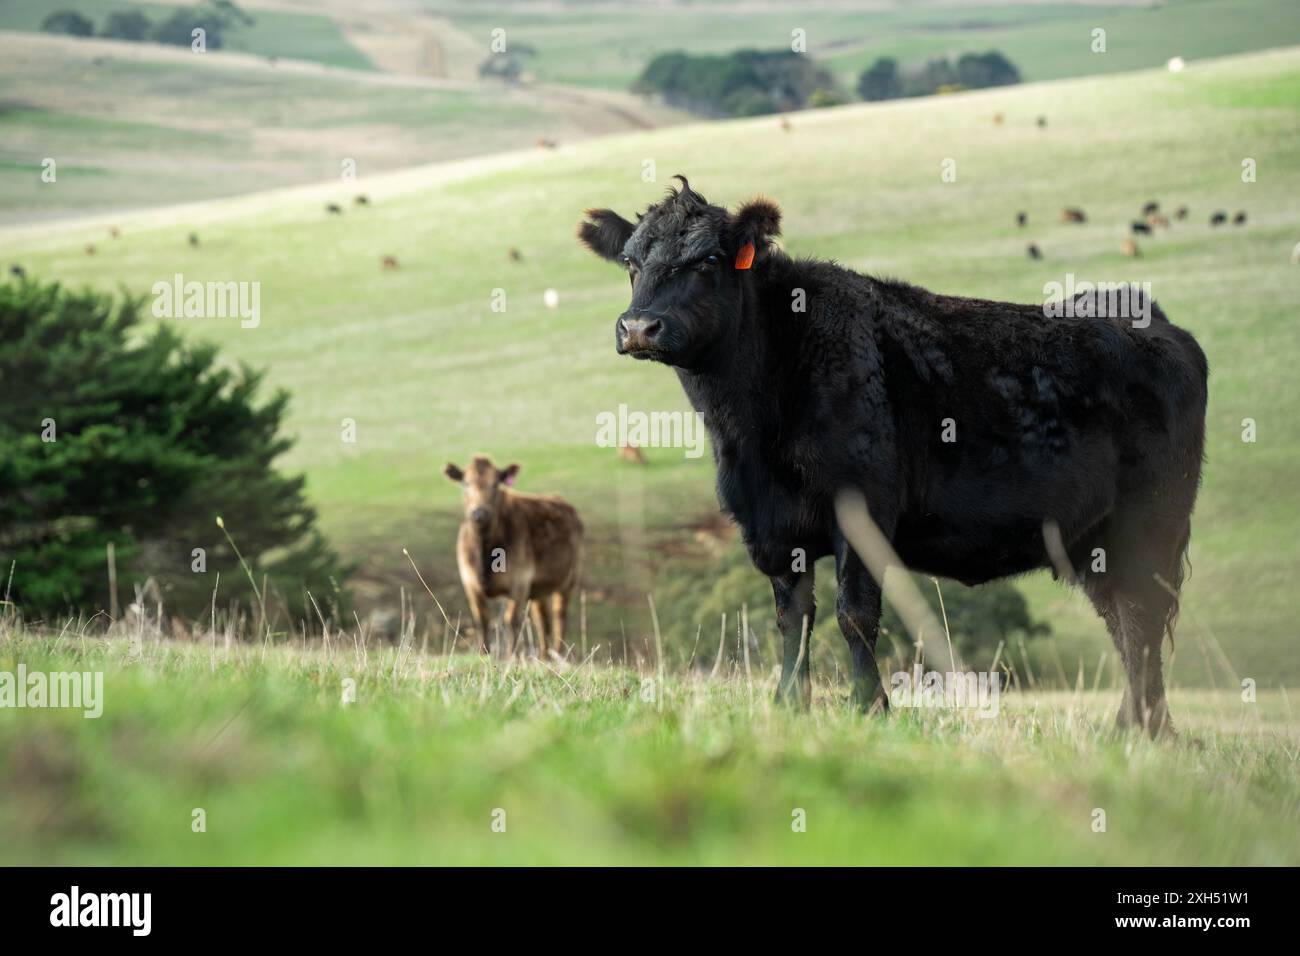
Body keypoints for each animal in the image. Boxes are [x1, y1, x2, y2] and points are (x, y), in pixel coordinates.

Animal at [445, 455, 583, 659]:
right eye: (466, 483)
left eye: (495, 484)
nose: (480, 512)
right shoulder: (470, 583)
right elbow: (482, 619)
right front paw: (483, 654)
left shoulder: (519, 582)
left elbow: (512, 620)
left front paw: (511, 657)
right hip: (539, 589)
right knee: (543, 620)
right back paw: (544, 658)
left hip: (569, 579)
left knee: (560, 616)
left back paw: (558, 656)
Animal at [577, 177, 1207, 738]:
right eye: (631, 262)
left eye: (708, 259)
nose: (639, 327)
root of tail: (1145, 313)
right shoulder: (771, 527)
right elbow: (793, 618)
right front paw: (789, 704)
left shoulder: (862, 510)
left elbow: (853, 614)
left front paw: (870, 707)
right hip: (1095, 540)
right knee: (1125, 624)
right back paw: (1137, 728)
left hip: (1151, 525)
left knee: (1143, 621)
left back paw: (1148, 731)